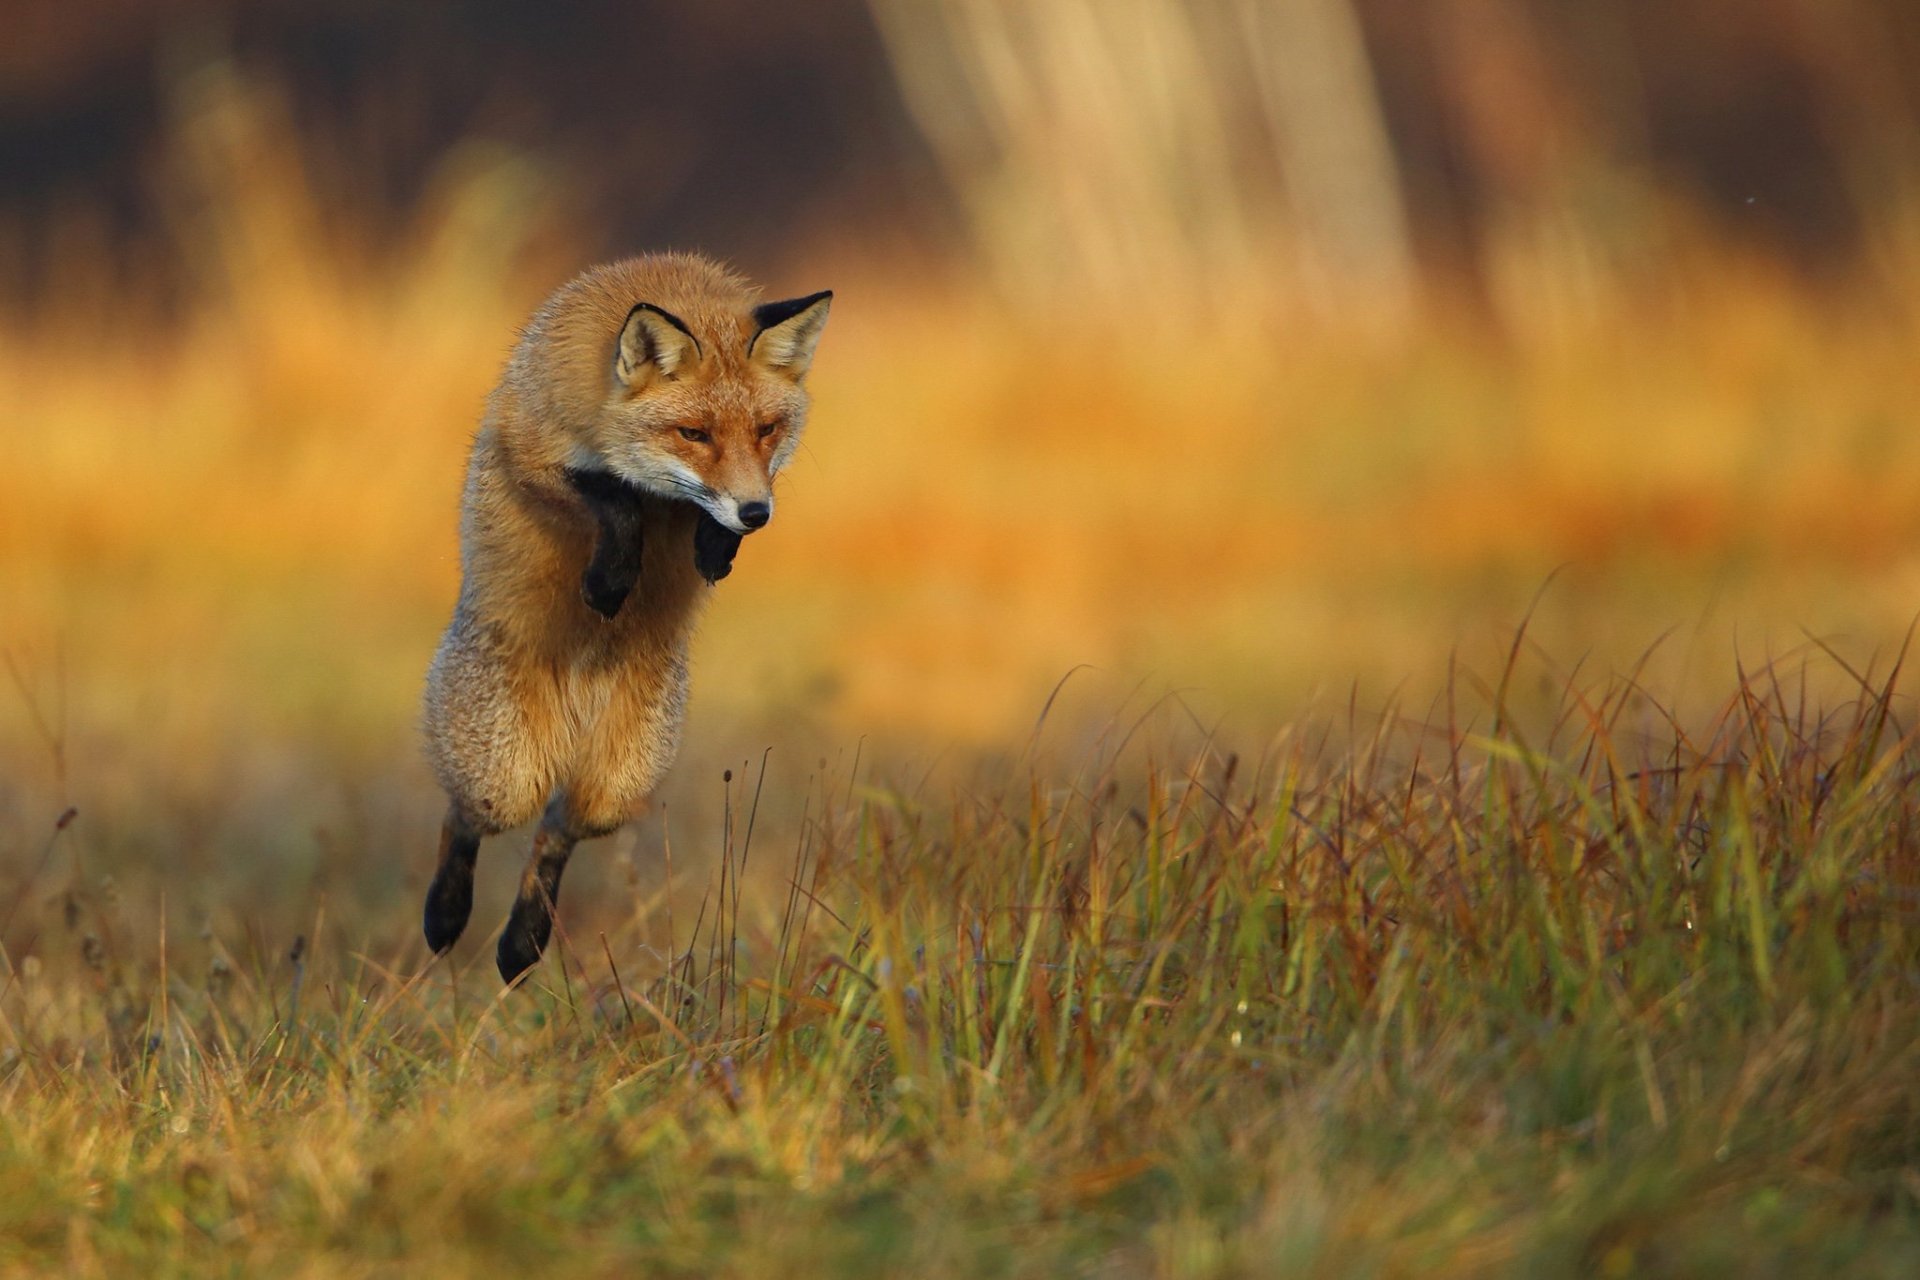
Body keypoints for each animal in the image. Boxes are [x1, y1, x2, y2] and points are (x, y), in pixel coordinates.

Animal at [419, 251, 831, 984]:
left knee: (556, 834)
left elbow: (676, 512)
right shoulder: (526, 450)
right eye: (693, 434)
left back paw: (521, 944)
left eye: (766, 431)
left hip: (617, 781)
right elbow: (611, 495)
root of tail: (569, 726)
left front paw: (714, 546)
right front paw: (611, 579)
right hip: (504, 773)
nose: (755, 514)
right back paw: (445, 916)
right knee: (464, 818)